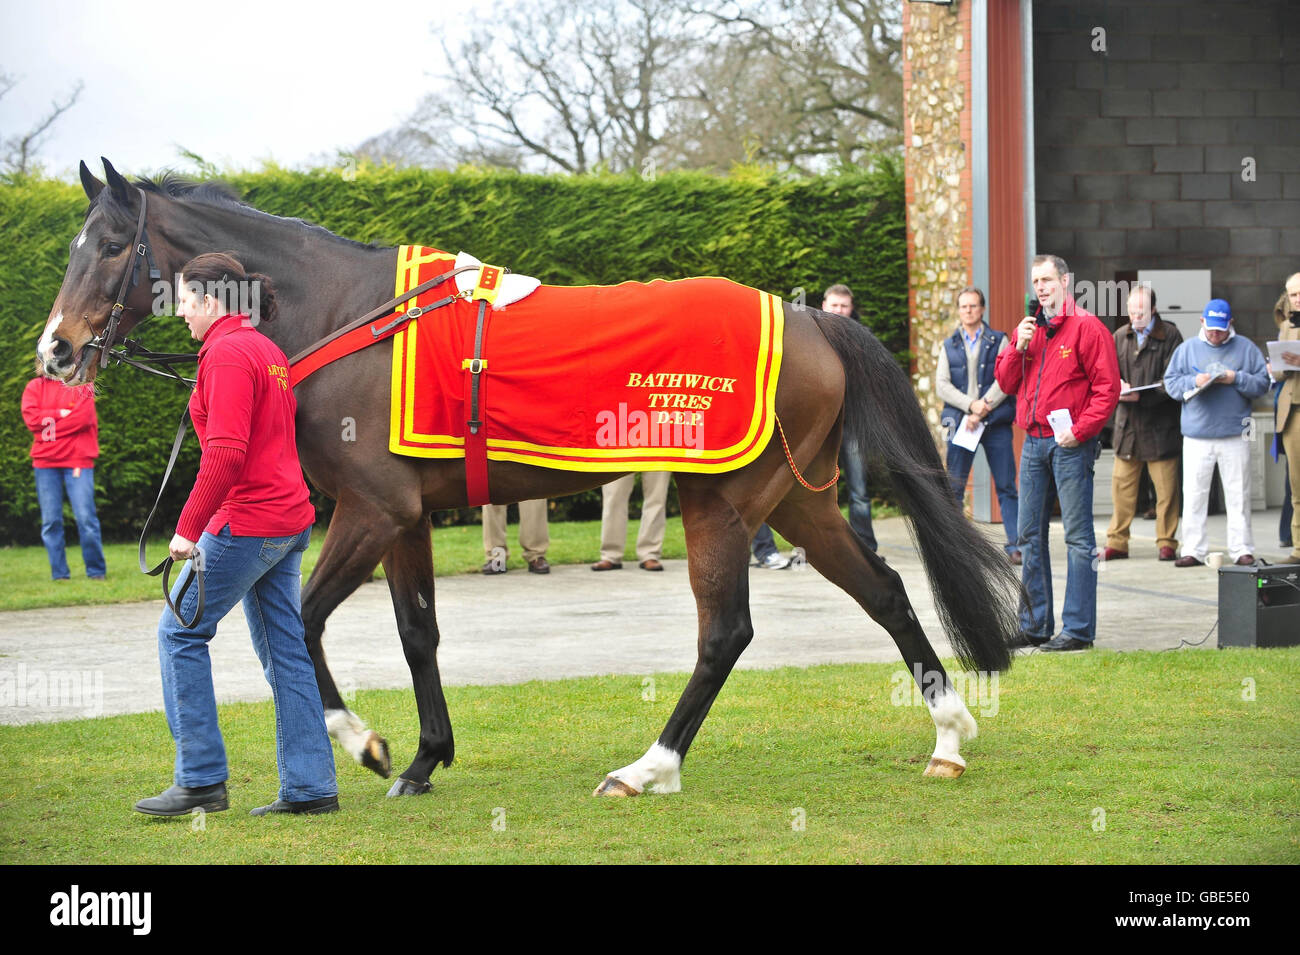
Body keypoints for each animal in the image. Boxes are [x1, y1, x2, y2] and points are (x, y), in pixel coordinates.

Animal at [35, 158, 1019, 798]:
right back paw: (949, 733)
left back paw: (650, 766)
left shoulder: (369, 509)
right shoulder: (407, 517)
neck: (348, 315)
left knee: (725, 633)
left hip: (724, 498)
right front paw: (425, 756)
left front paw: (368, 745)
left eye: (112, 242)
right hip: (799, 499)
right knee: (884, 590)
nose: (56, 350)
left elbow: (305, 621)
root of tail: (810, 319)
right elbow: (417, 633)